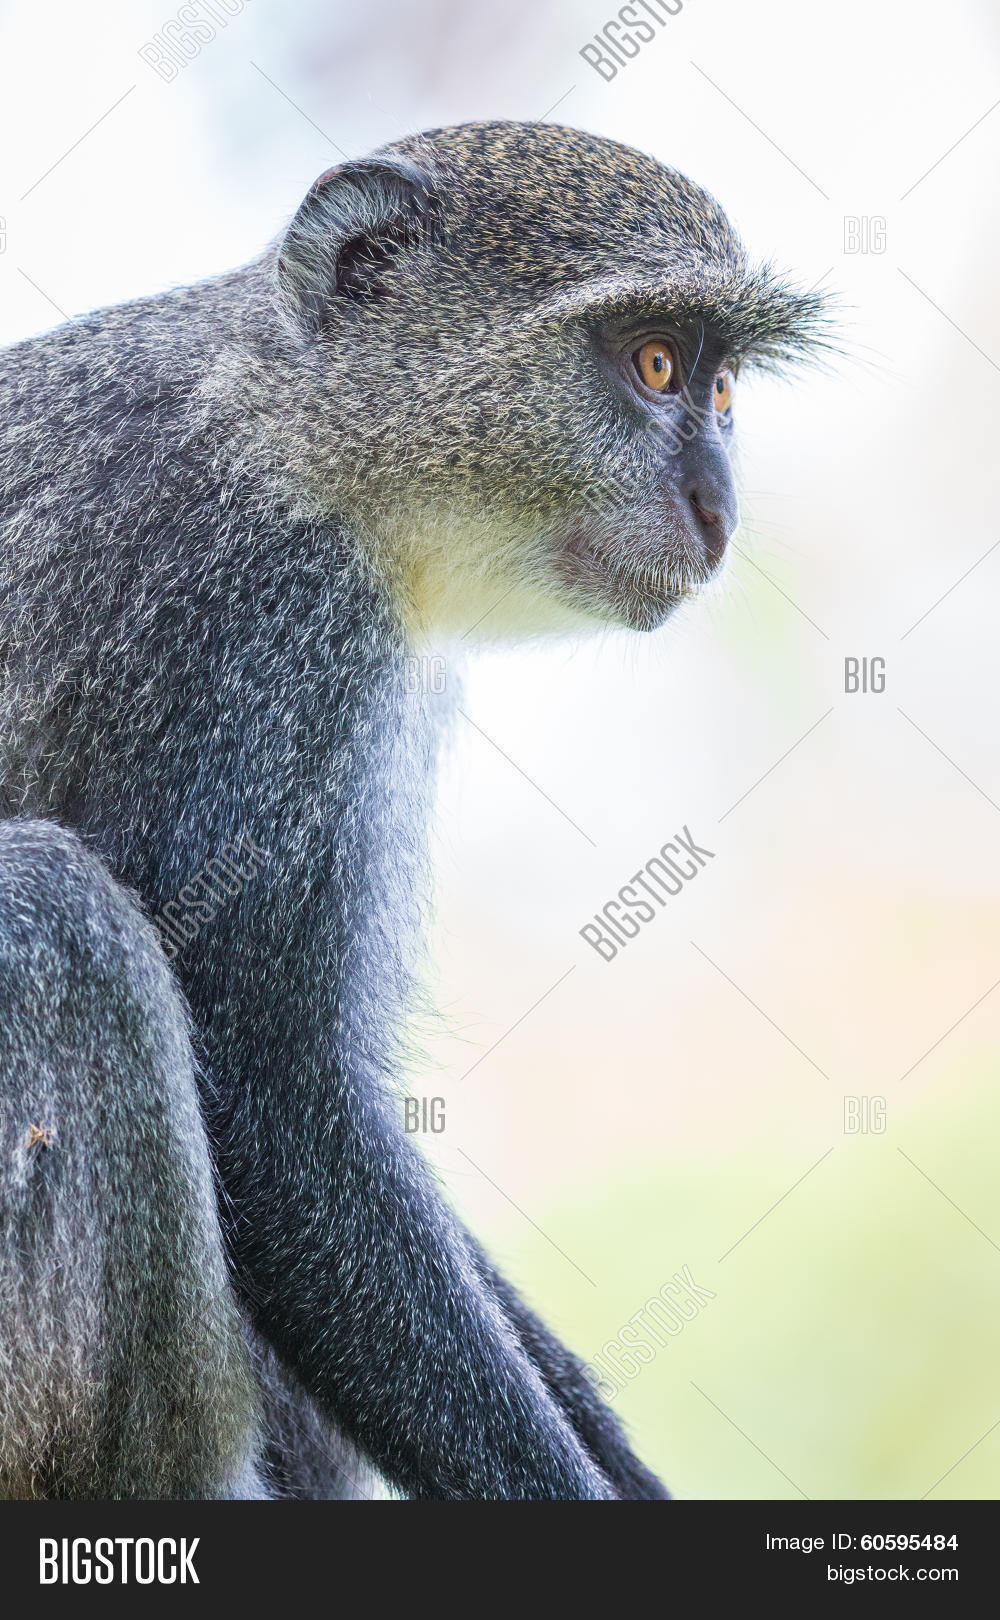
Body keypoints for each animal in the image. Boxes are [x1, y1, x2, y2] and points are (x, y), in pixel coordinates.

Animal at [0, 120, 825, 1500]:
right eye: (655, 364)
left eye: (719, 390)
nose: (719, 511)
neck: (289, 415)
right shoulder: (267, 618)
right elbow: (282, 1114)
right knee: (59, 913)